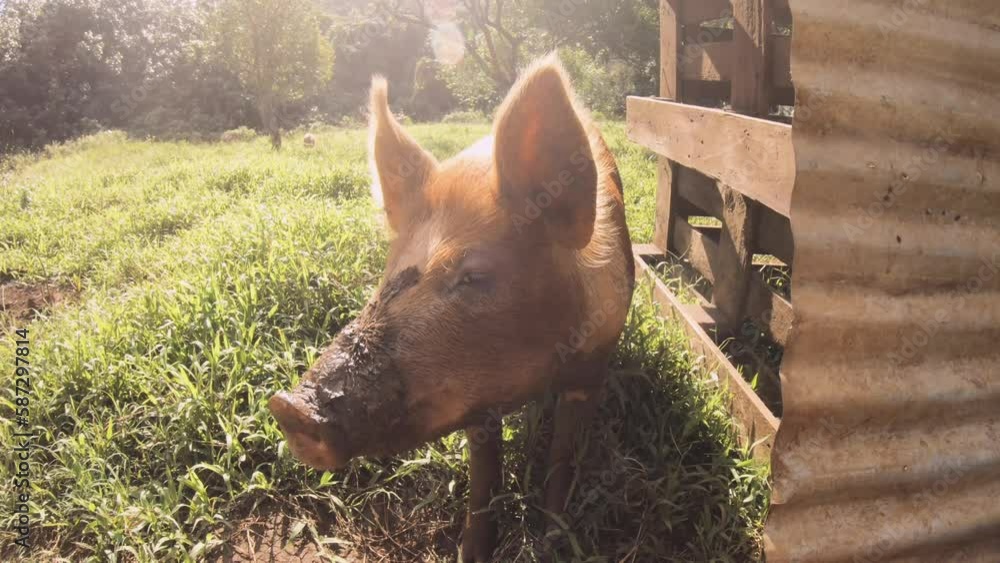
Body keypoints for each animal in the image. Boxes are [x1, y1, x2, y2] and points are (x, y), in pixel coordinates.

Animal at [268, 54, 634, 562]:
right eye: (388, 271)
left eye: (474, 277)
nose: (291, 408)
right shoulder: (475, 401)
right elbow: (483, 476)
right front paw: (471, 552)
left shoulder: (591, 369)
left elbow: (563, 459)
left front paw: (552, 539)